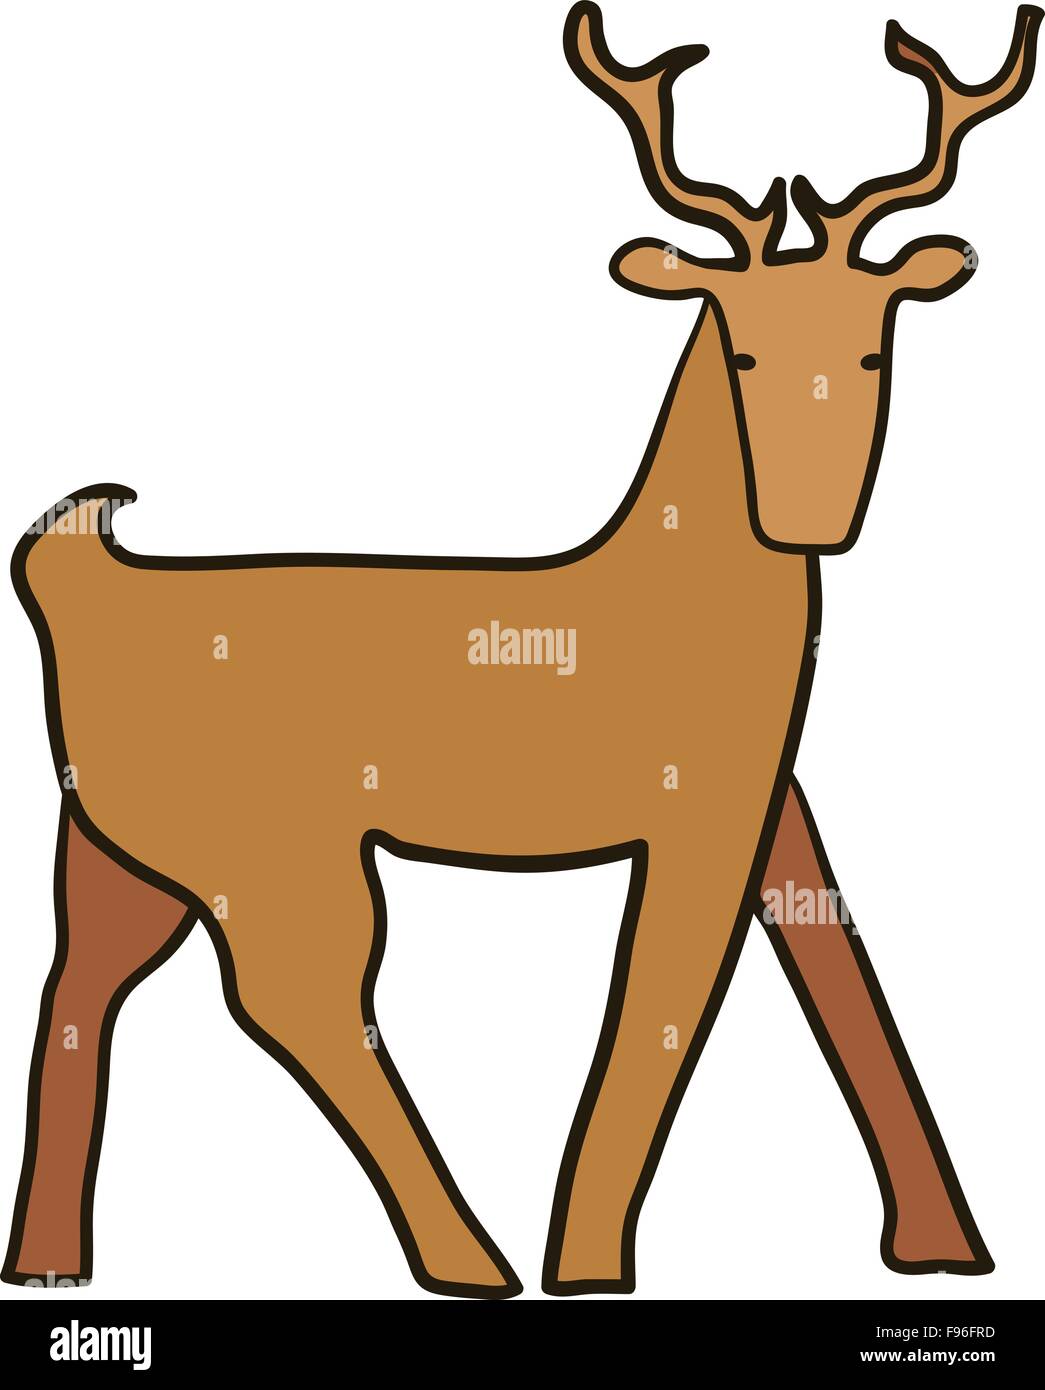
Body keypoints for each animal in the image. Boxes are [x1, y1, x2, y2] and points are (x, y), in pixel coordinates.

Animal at [3, 2, 1038, 1299]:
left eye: (872, 353)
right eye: (740, 352)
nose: (813, 515)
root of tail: (75, 579)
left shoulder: (772, 787)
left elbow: (833, 947)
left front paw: (944, 1245)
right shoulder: (694, 806)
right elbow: (663, 1000)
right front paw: (589, 1262)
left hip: (115, 849)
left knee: (79, 987)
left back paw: (51, 1261)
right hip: (276, 848)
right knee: (298, 998)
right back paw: (472, 1255)